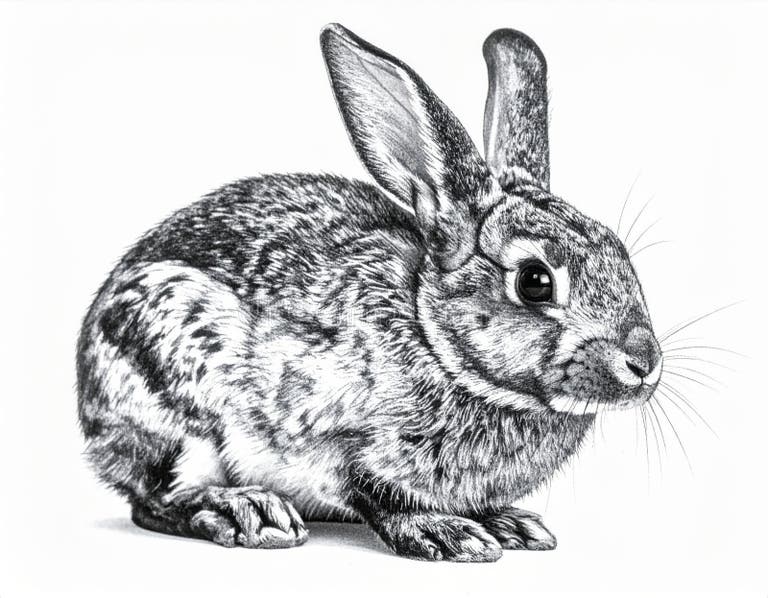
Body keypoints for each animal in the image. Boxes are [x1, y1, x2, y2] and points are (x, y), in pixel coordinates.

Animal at [76, 23, 662, 562]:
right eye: (535, 281)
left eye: (620, 254)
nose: (644, 364)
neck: (435, 339)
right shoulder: (331, 434)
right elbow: (376, 494)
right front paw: (447, 534)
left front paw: (511, 524)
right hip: (170, 393)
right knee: (154, 498)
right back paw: (246, 510)